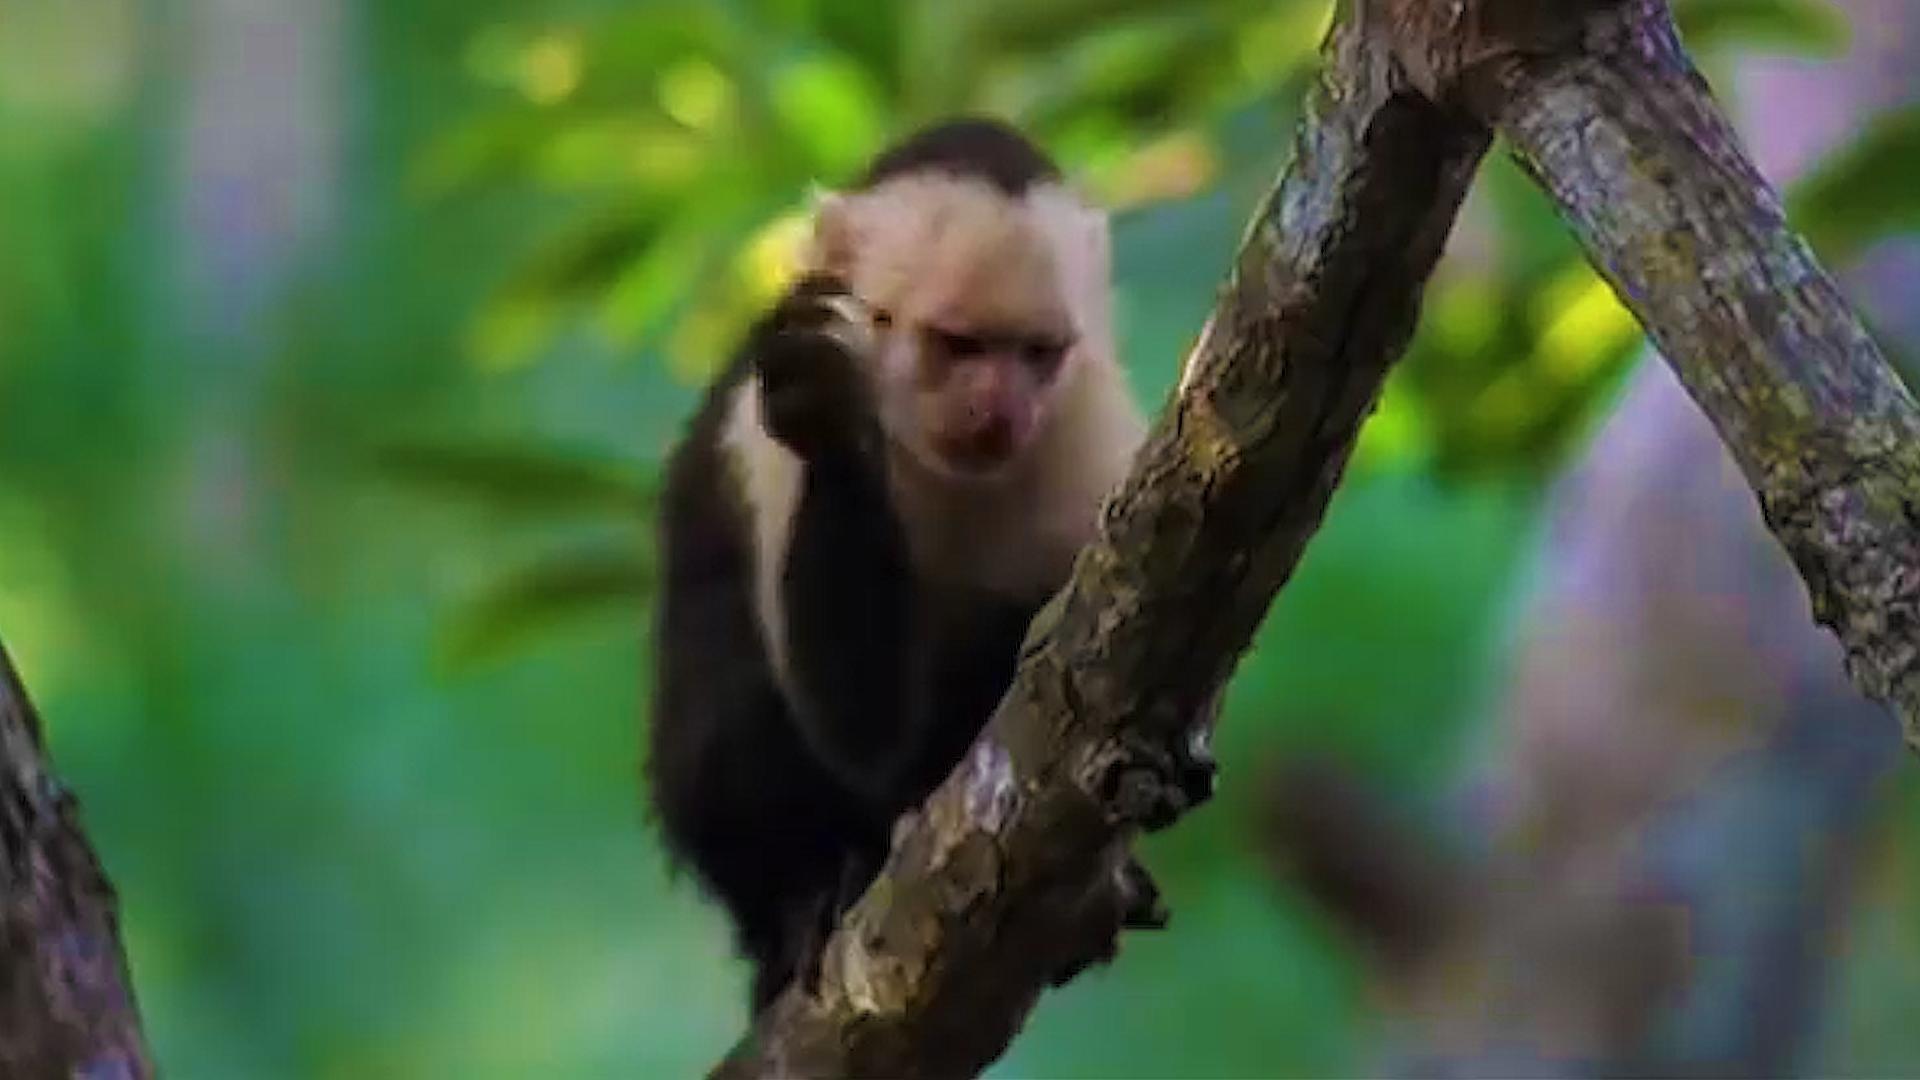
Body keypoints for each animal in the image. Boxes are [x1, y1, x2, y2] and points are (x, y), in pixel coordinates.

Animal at [646, 118, 1211, 1013]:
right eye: (957, 345)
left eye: (1036, 353)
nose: (1000, 411)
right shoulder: (764, 434)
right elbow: (853, 731)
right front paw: (834, 425)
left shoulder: (1091, 428)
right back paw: (808, 898)